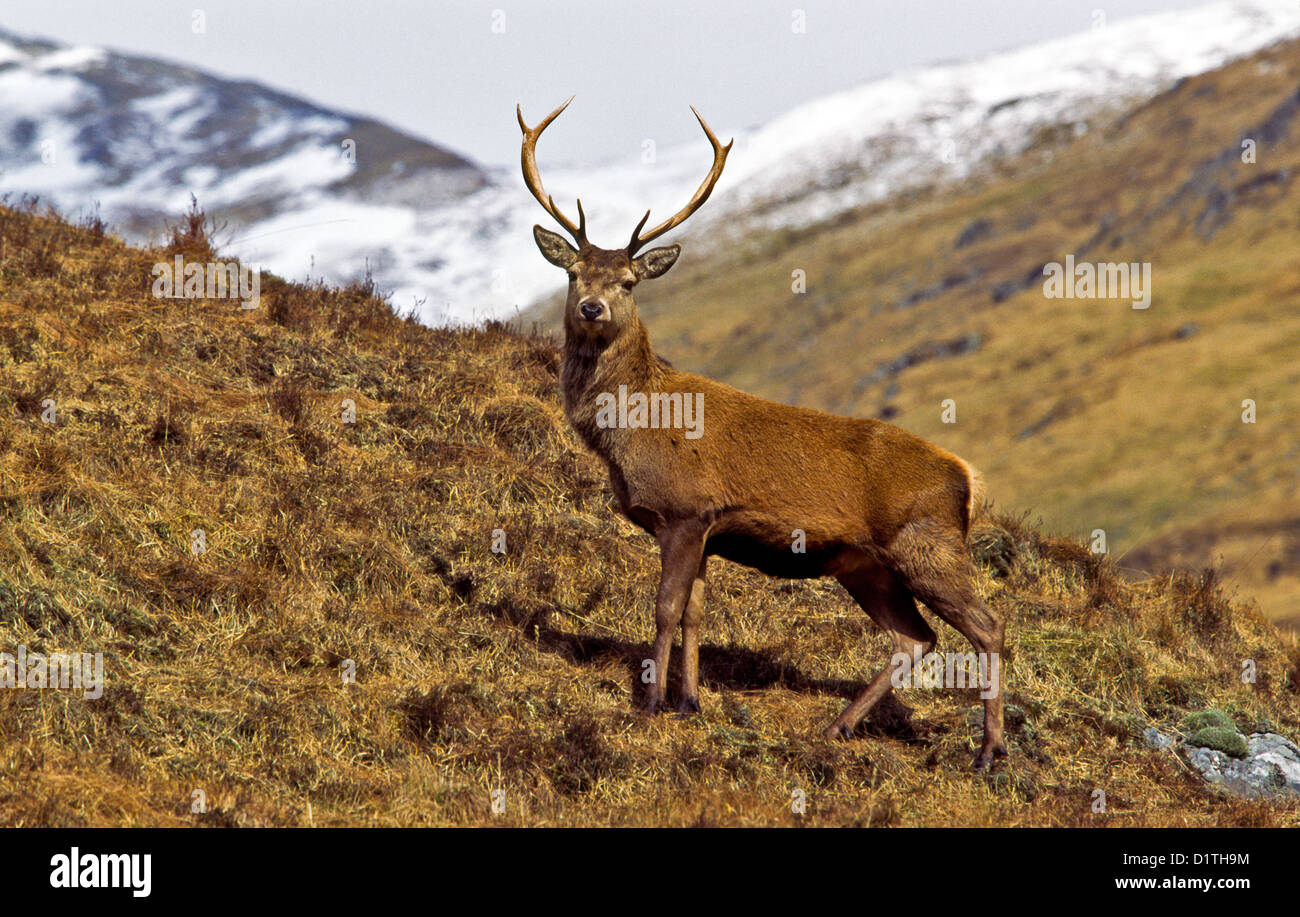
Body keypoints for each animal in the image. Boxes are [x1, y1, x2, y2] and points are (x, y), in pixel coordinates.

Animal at [519, 97, 1008, 769]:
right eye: (573, 275)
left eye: (628, 281)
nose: (593, 308)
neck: (633, 430)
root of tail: (968, 477)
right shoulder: (704, 528)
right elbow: (696, 613)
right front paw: (689, 702)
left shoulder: (685, 510)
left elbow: (666, 609)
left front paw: (649, 704)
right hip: (866, 564)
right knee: (914, 638)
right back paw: (837, 726)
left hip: (927, 544)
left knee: (988, 625)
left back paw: (990, 751)